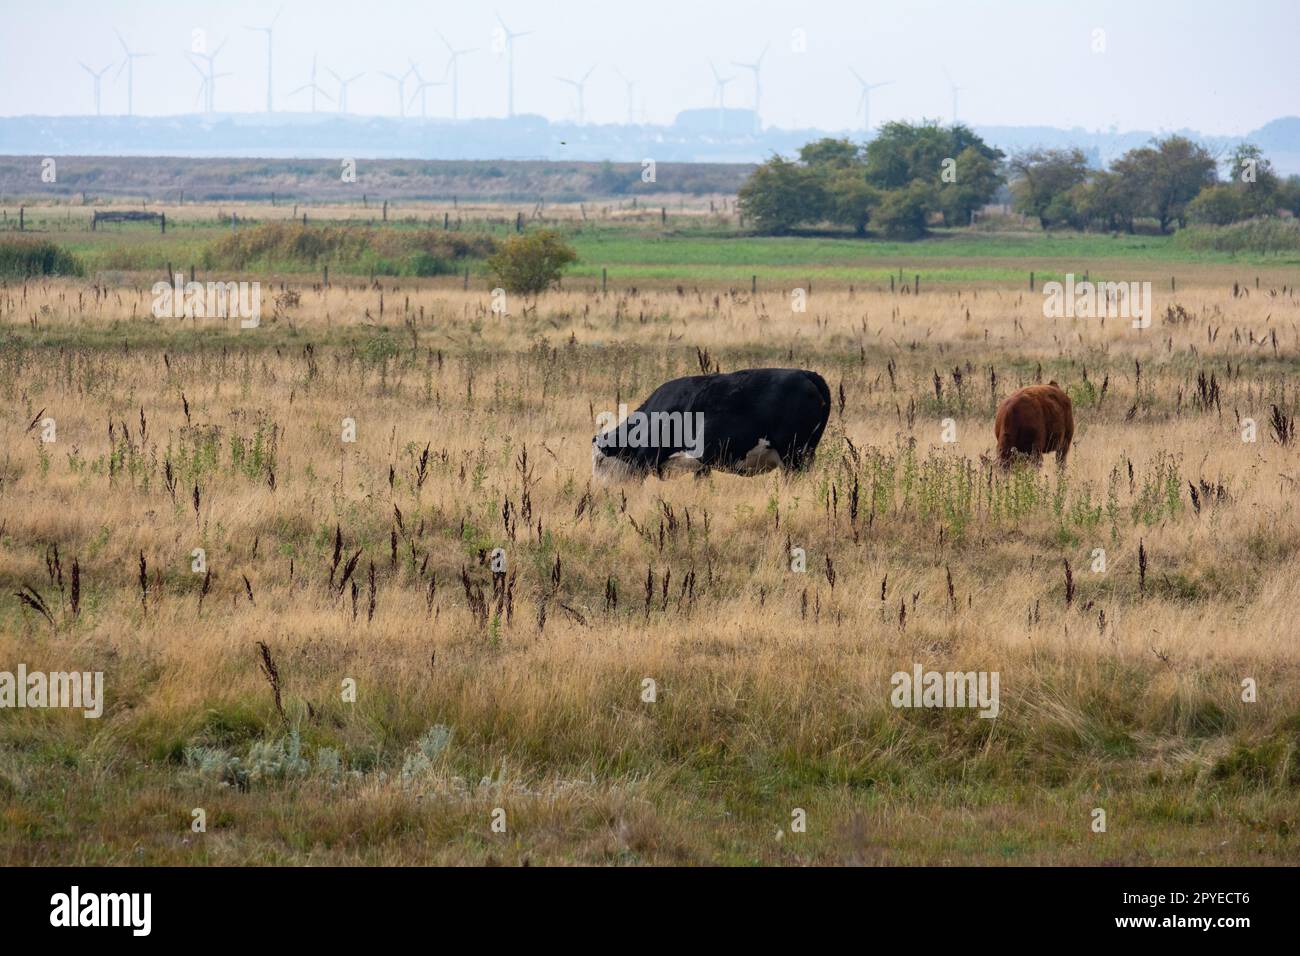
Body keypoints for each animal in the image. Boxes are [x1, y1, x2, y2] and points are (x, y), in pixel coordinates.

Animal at [593, 368, 831, 481]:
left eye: (600, 461)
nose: (598, 493)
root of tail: (806, 374)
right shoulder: (702, 466)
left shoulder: (645, 461)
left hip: (794, 456)